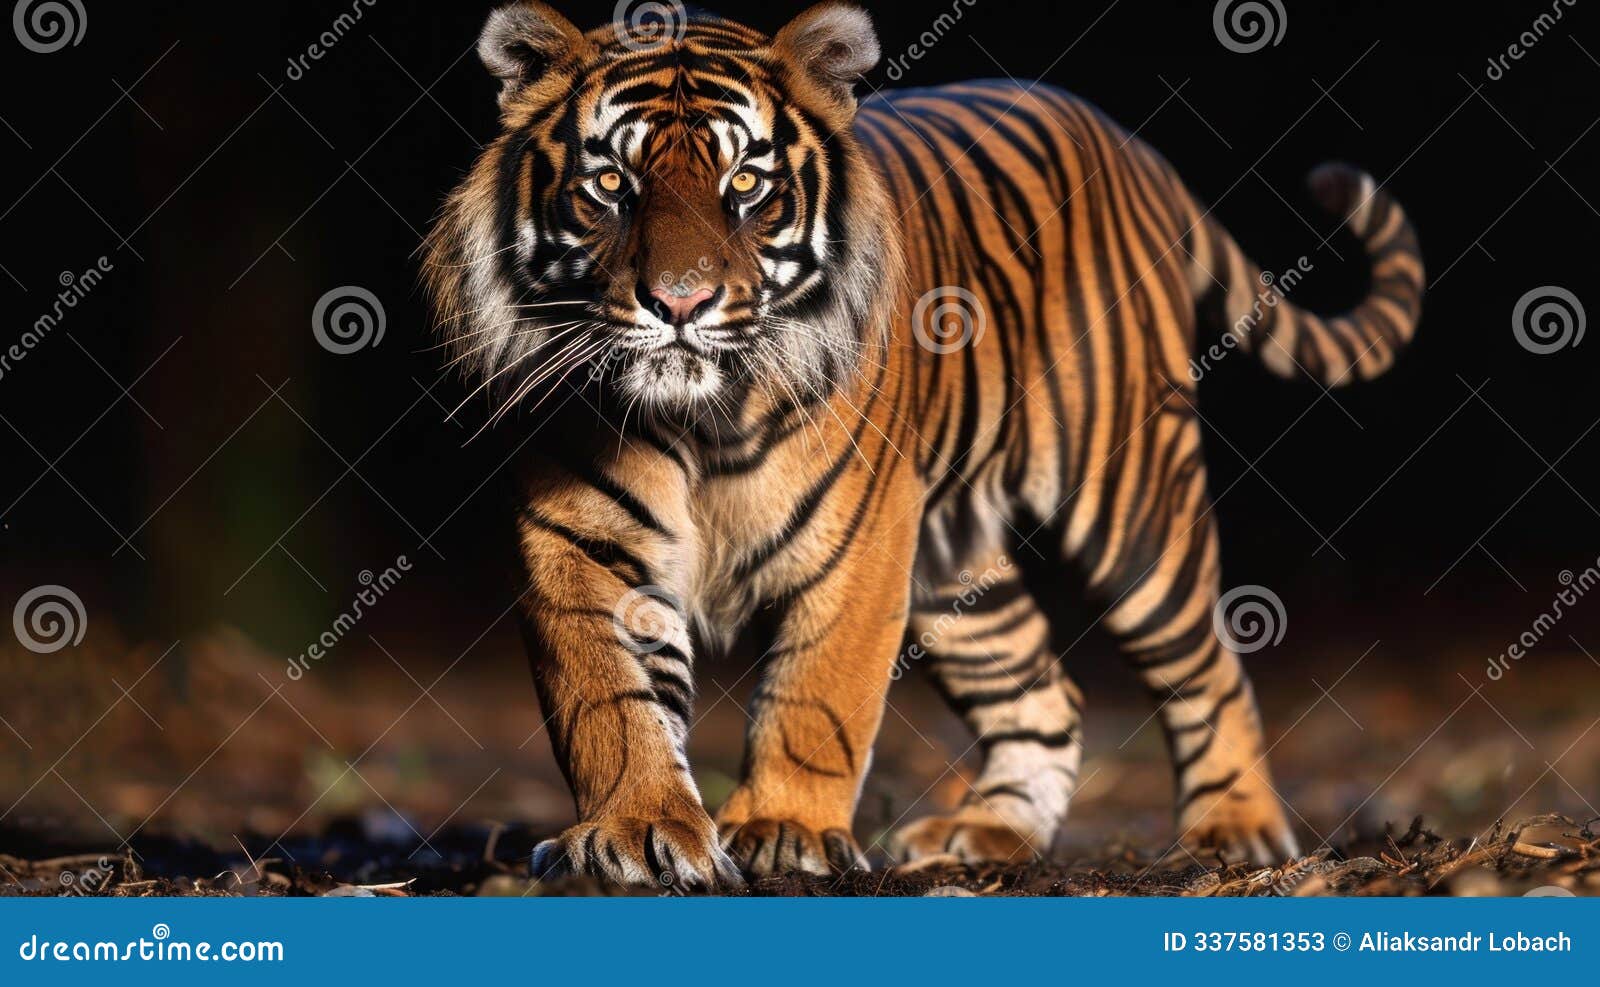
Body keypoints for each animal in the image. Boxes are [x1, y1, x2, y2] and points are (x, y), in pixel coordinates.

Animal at [423, 1, 1423, 890]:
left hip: (1132, 502)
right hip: (952, 565)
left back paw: (1233, 829)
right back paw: (987, 832)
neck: (698, 420)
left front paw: (784, 829)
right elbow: (606, 700)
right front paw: (638, 831)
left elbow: (819, 692)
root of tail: (1132, 143)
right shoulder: (577, 541)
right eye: (610, 185)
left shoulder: (861, 544)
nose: (679, 301)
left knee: (1209, 666)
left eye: (744, 185)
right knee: (1044, 693)